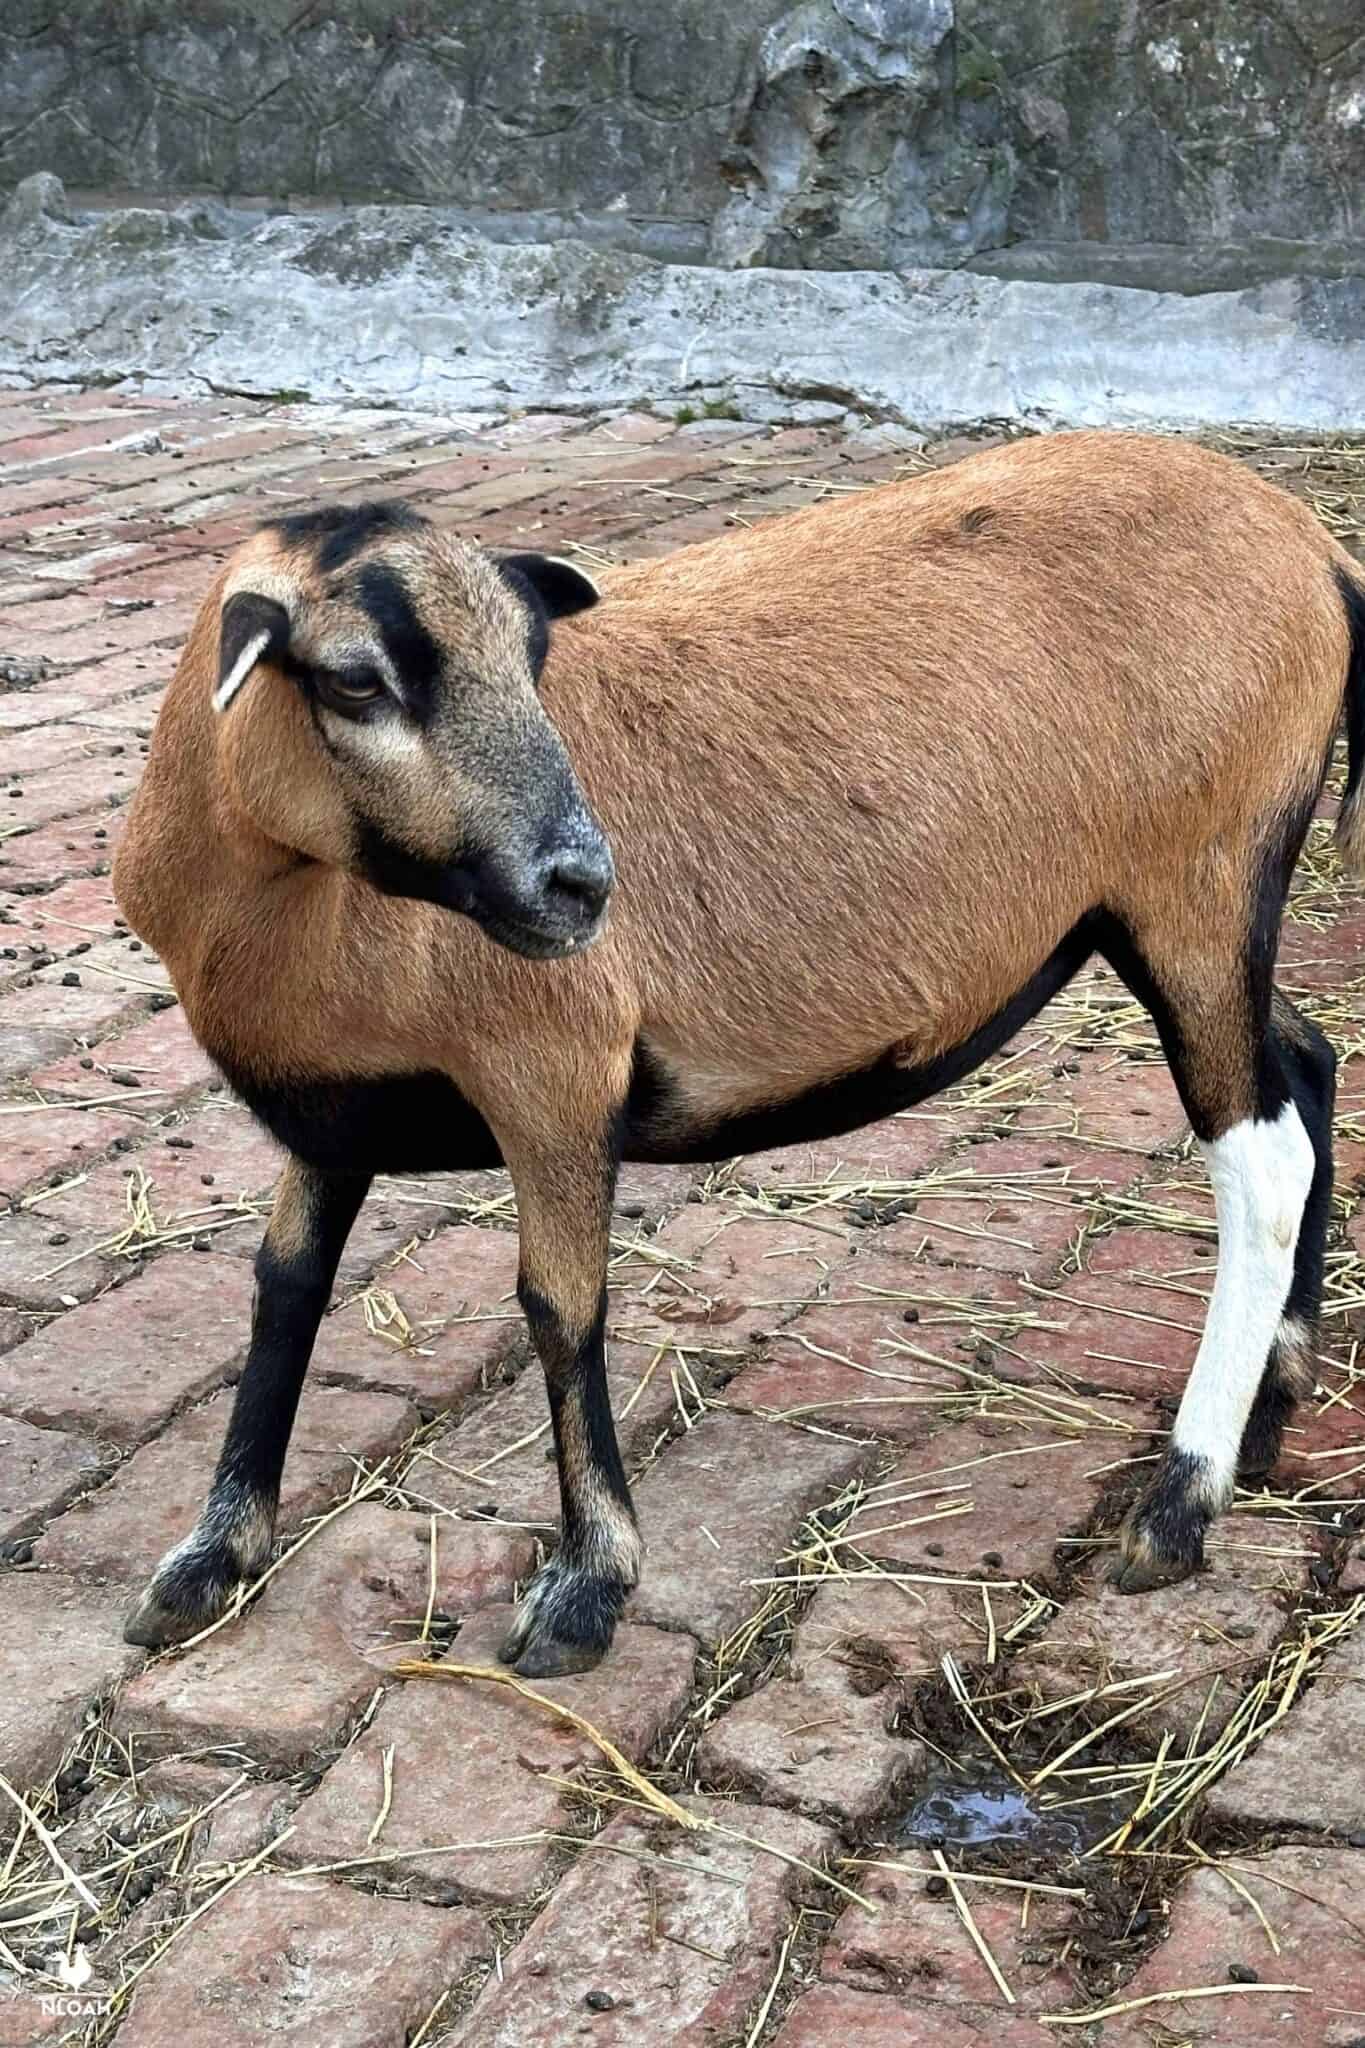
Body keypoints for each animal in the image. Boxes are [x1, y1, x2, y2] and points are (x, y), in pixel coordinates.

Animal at [111, 431, 1365, 1677]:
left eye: (532, 658)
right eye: (355, 678)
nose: (583, 883)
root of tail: (1314, 547)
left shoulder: (555, 1070)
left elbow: (558, 1304)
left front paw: (587, 1586)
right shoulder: (332, 1105)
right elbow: (285, 1285)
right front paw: (209, 1557)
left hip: (1198, 884)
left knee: (1261, 1160)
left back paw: (1180, 1503)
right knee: (1306, 1065)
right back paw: (1273, 1394)